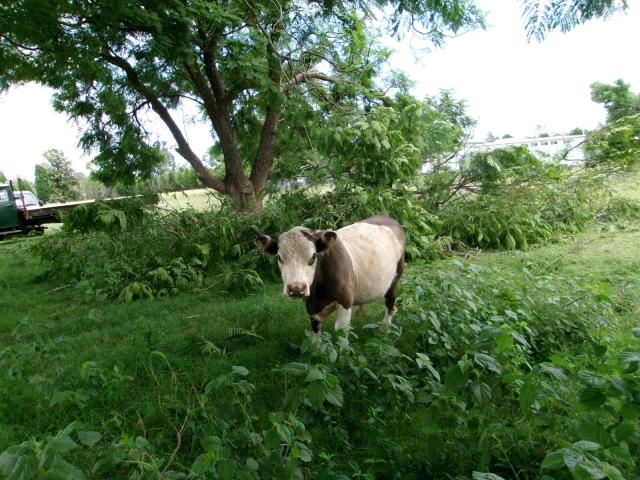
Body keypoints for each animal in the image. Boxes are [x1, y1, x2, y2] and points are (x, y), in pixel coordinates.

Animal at [255, 214, 406, 336]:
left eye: (313, 256)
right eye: (279, 257)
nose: (296, 288)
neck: (318, 294)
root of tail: (386, 217)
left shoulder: (345, 300)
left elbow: (341, 332)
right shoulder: (311, 306)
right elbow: (315, 328)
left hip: (395, 280)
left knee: (390, 304)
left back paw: (384, 330)